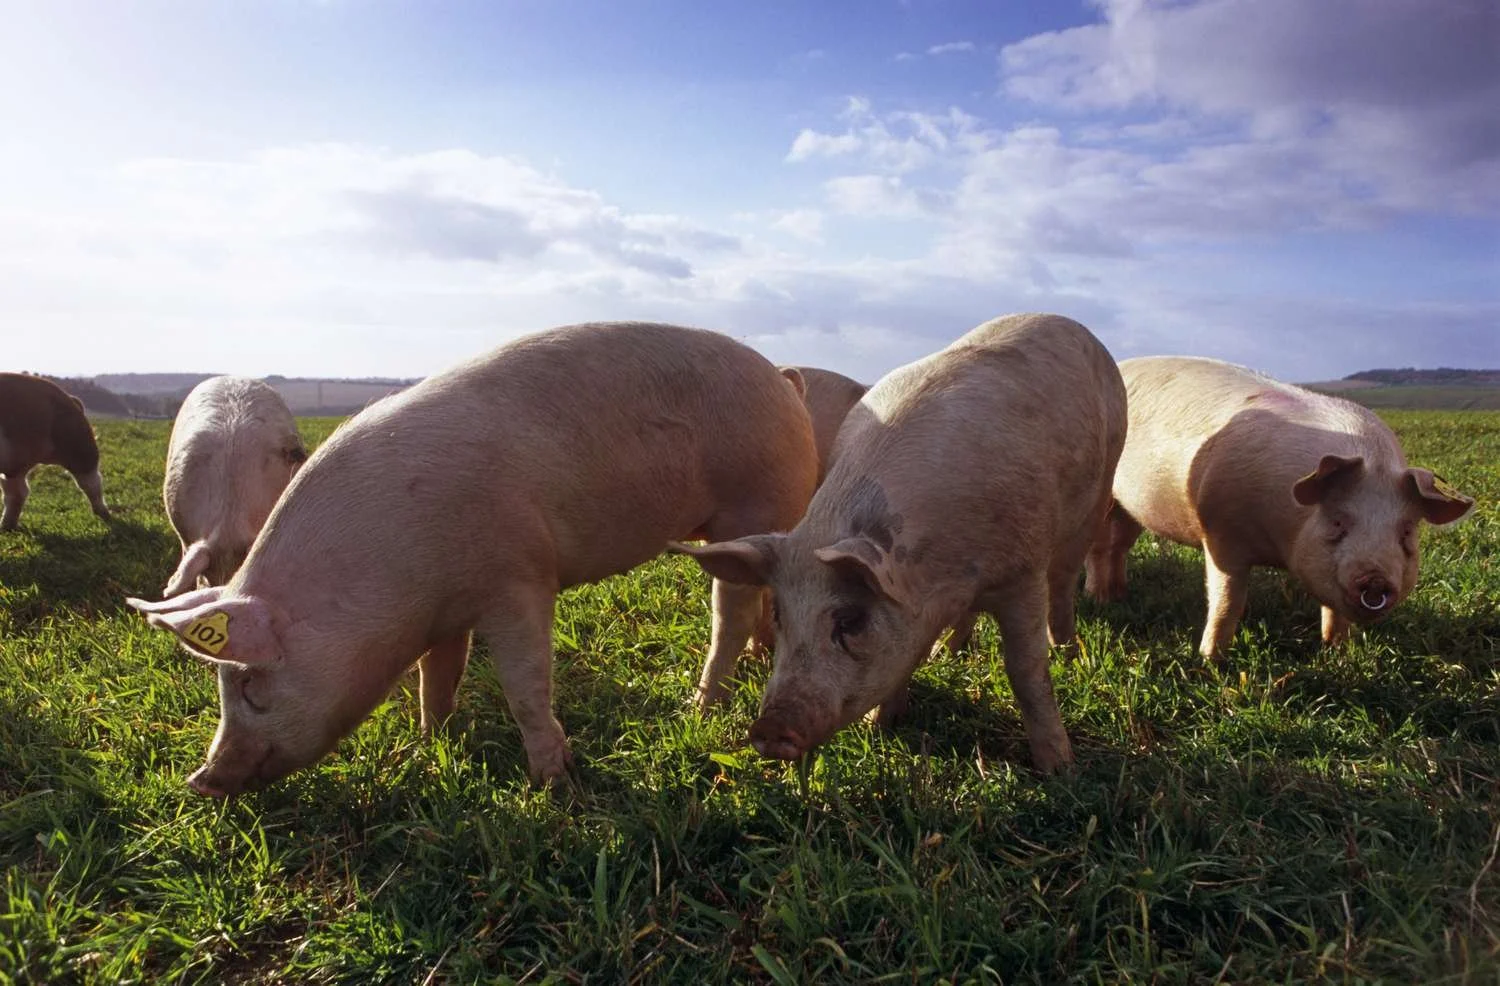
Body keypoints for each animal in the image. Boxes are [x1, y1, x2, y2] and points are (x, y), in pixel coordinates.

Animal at [0, 372, 110, 530]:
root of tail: (70, 398)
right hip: (15, 464)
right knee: (18, 491)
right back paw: (6, 526)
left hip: (81, 447)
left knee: (92, 482)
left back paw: (105, 516)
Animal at [673, 313, 1128, 773]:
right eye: (780, 615)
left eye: (850, 620)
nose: (768, 729)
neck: (948, 577)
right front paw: (878, 726)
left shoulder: (1023, 571)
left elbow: (1026, 670)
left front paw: (1059, 770)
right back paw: (946, 655)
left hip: (1099, 489)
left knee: (1064, 582)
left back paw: (1068, 653)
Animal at [1084, 356, 1475, 659]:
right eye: (1338, 522)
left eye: (1406, 532)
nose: (1375, 579)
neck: (1279, 545)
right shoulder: (1221, 534)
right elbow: (1227, 601)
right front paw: (1210, 660)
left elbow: (1333, 609)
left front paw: (1338, 651)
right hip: (1104, 495)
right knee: (1099, 548)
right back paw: (1099, 598)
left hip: (1130, 508)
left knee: (1118, 547)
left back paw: (1119, 594)